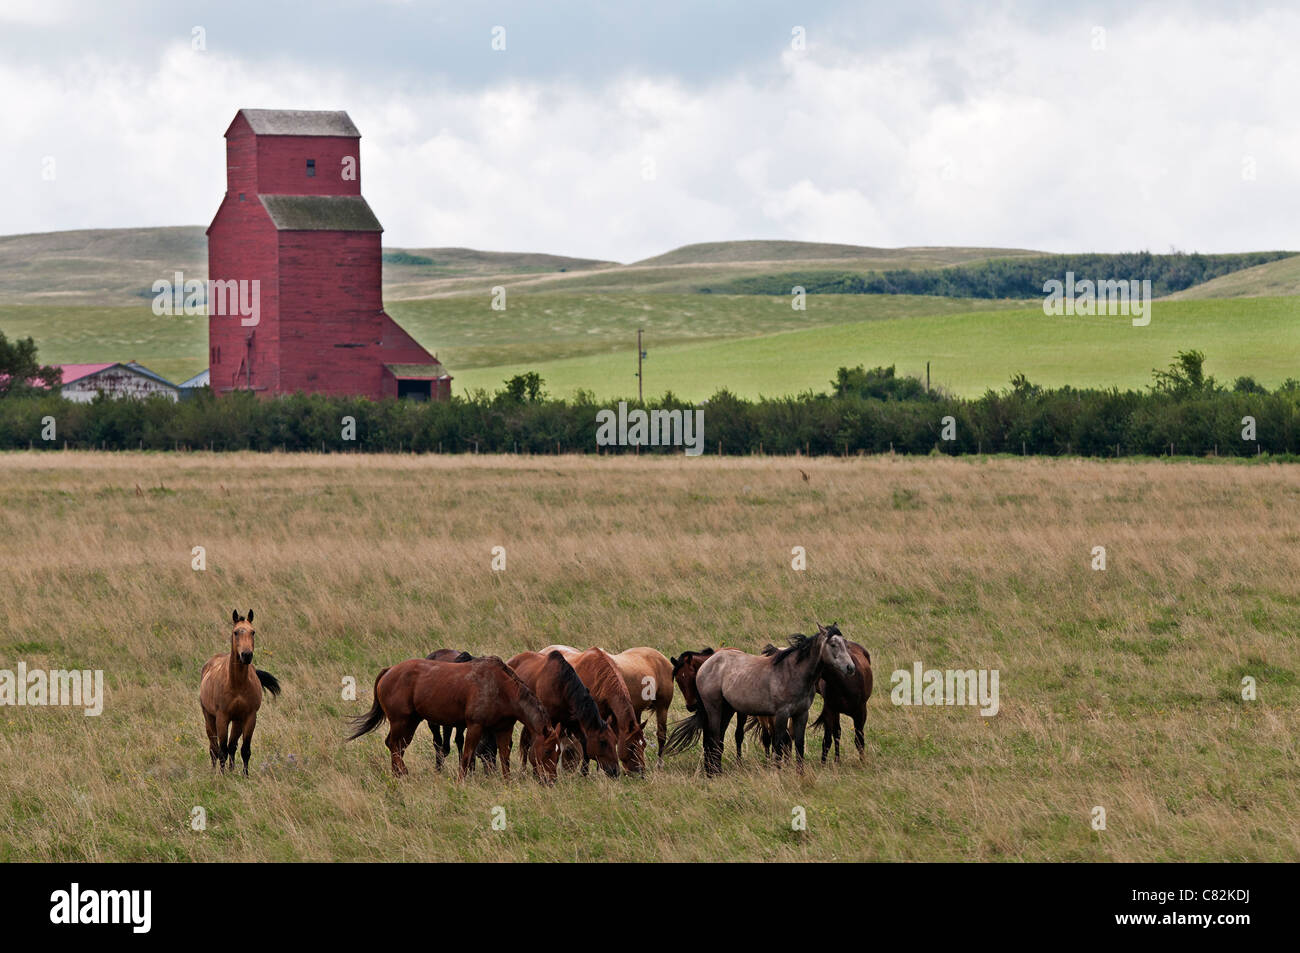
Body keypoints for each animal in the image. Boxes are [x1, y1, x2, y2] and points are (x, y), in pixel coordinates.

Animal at [198, 608, 280, 774]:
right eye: (236, 632)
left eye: (253, 632)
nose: (246, 655)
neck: (237, 685)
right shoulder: (222, 717)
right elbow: (222, 750)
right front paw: (222, 776)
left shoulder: (249, 717)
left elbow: (244, 750)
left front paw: (245, 775)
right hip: (209, 717)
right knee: (214, 748)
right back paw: (214, 771)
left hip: (237, 721)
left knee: (232, 746)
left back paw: (231, 769)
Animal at [348, 655, 561, 780]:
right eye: (548, 751)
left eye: (558, 753)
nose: (551, 781)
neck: (501, 688)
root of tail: (389, 670)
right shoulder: (475, 726)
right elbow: (466, 756)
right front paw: (462, 781)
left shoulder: (503, 729)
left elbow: (504, 758)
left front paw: (507, 782)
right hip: (400, 722)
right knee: (394, 746)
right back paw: (400, 775)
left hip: (410, 722)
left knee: (396, 746)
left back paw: (399, 774)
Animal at [670, 624, 852, 774]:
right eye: (833, 644)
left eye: (845, 644)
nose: (850, 668)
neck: (793, 672)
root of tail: (706, 664)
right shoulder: (781, 714)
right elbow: (778, 744)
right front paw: (778, 772)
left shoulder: (801, 714)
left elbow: (799, 745)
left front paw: (800, 774)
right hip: (714, 708)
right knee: (713, 737)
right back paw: (714, 773)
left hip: (727, 710)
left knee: (715, 738)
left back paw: (714, 770)